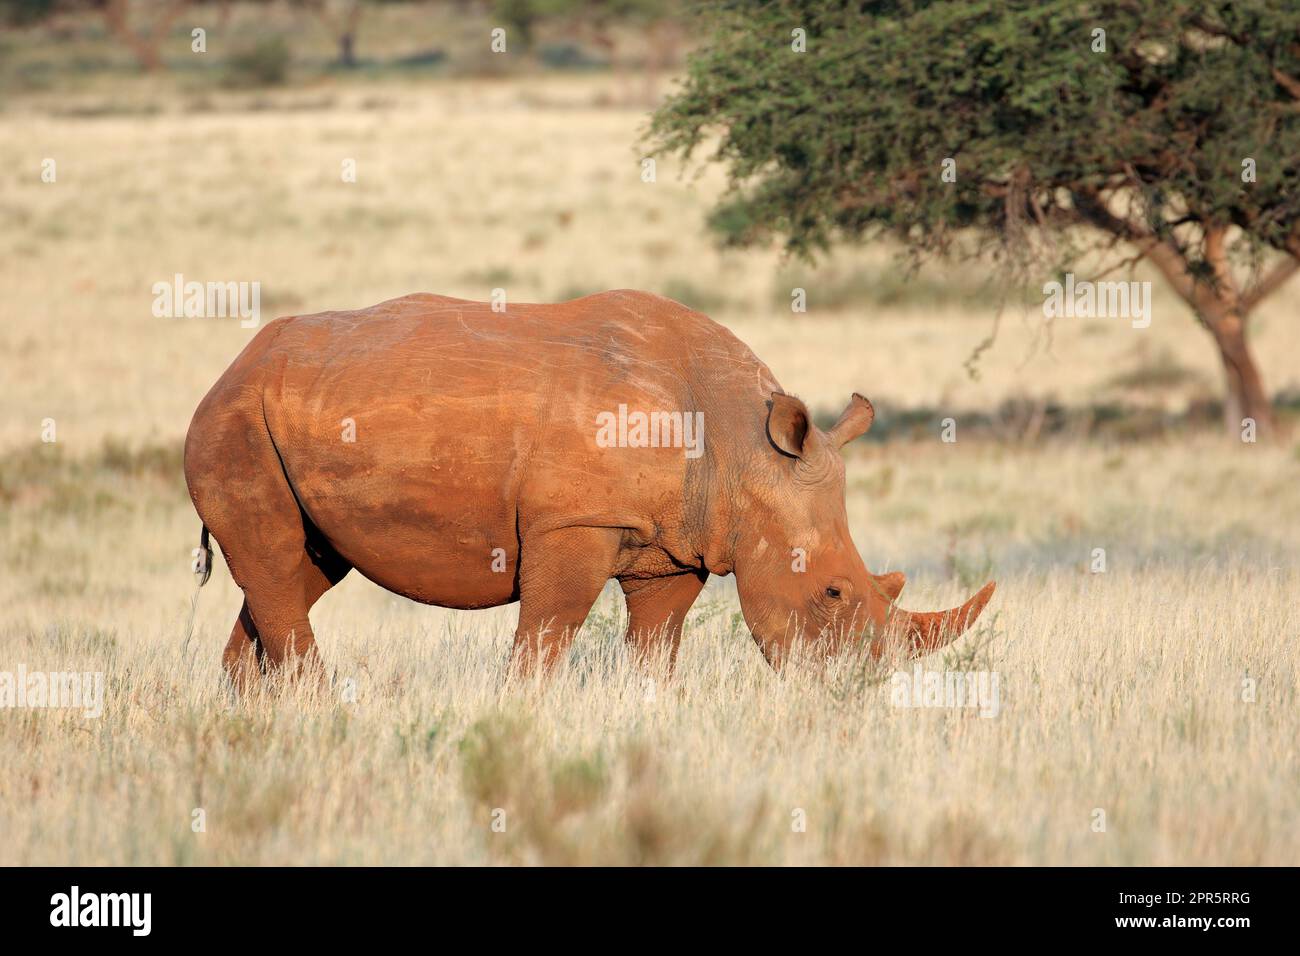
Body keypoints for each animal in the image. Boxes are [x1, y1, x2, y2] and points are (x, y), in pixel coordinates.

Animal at [184, 290, 993, 689]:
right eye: (831, 592)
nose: (858, 688)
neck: (741, 448)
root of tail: (231, 365)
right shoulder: (574, 524)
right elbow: (549, 630)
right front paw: (524, 711)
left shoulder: (677, 543)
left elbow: (657, 640)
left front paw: (648, 708)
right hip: (234, 421)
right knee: (276, 565)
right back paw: (314, 706)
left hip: (285, 411)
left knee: (299, 571)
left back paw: (250, 716)